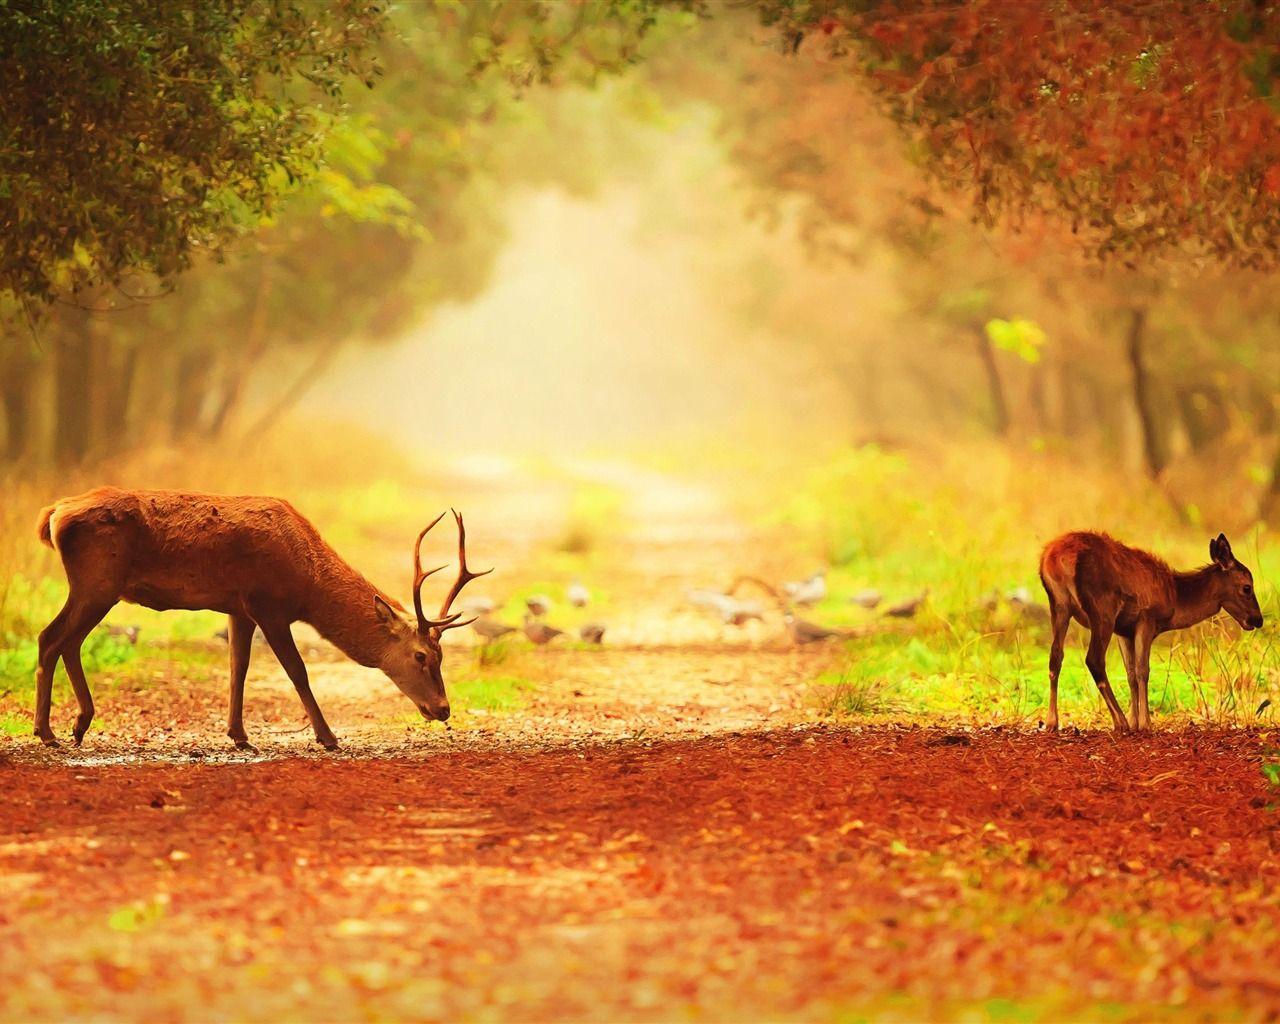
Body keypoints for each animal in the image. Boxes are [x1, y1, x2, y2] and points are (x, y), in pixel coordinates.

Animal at [32, 487, 490, 750]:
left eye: (443, 657)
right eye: (421, 656)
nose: (443, 709)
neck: (307, 584)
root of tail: (53, 514)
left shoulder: (239, 607)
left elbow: (239, 667)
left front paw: (239, 736)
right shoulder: (269, 604)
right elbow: (297, 671)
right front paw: (328, 737)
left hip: (95, 587)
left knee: (64, 640)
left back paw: (77, 726)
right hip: (98, 581)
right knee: (51, 638)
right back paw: (49, 732)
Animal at [1039, 531, 1263, 734]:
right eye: (1247, 587)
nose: (1258, 619)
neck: (1175, 598)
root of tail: (1055, 559)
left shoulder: (1124, 630)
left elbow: (1130, 673)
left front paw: (1135, 720)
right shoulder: (1146, 618)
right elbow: (1142, 671)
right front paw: (1144, 723)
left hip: (1059, 605)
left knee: (1055, 656)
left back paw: (1051, 722)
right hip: (1103, 609)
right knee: (1094, 659)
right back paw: (1119, 721)